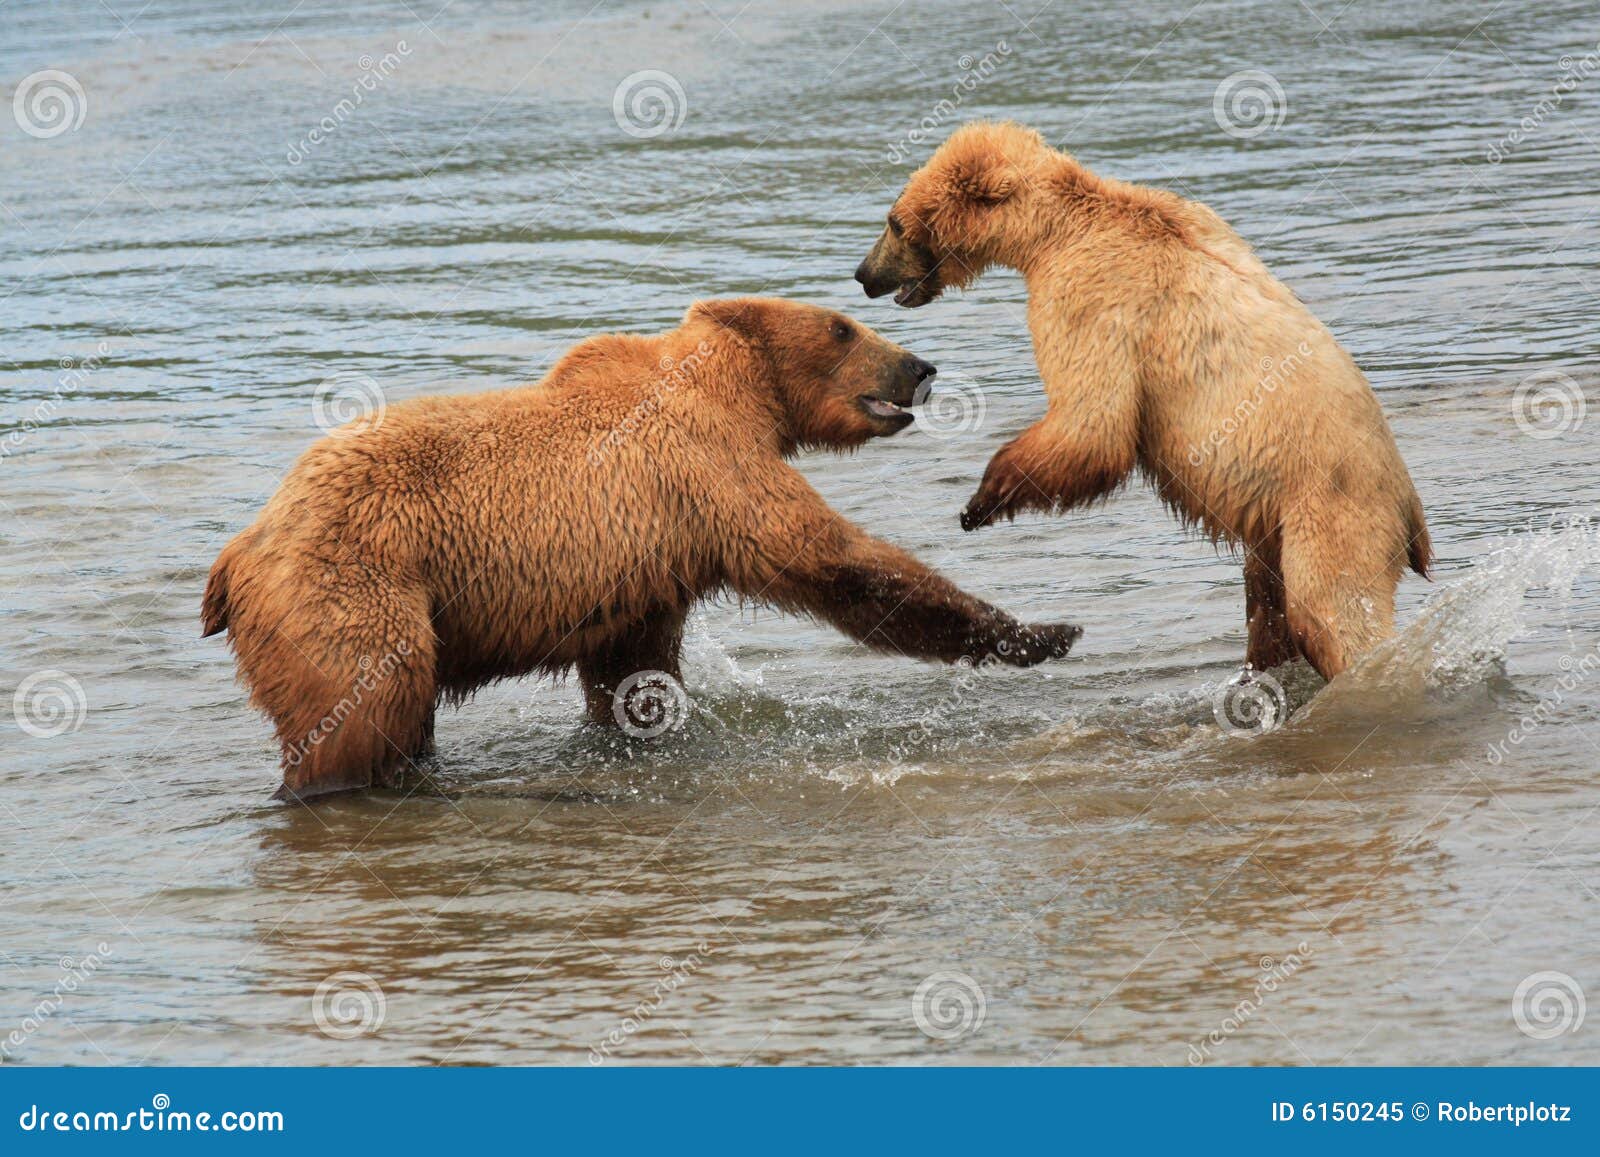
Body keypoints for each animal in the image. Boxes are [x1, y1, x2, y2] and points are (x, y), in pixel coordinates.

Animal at [202, 298, 1081, 802]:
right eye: (843, 326)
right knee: (363, 707)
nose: (921, 365)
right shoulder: (706, 460)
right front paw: (1041, 631)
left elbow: (635, 670)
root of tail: (236, 555)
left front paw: (643, 728)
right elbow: (830, 558)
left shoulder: (644, 567)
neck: (745, 389)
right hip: (355, 586)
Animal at [854, 121, 1431, 680]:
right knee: (1269, 601)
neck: (1049, 234)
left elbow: (1093, 423)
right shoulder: (1203, 218)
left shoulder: (1085, 297)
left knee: (1329, 610)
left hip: (1332, 506)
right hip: (1280, 526)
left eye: (894, 222)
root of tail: (1412, 514)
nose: (863, 275)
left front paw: (981, 501)